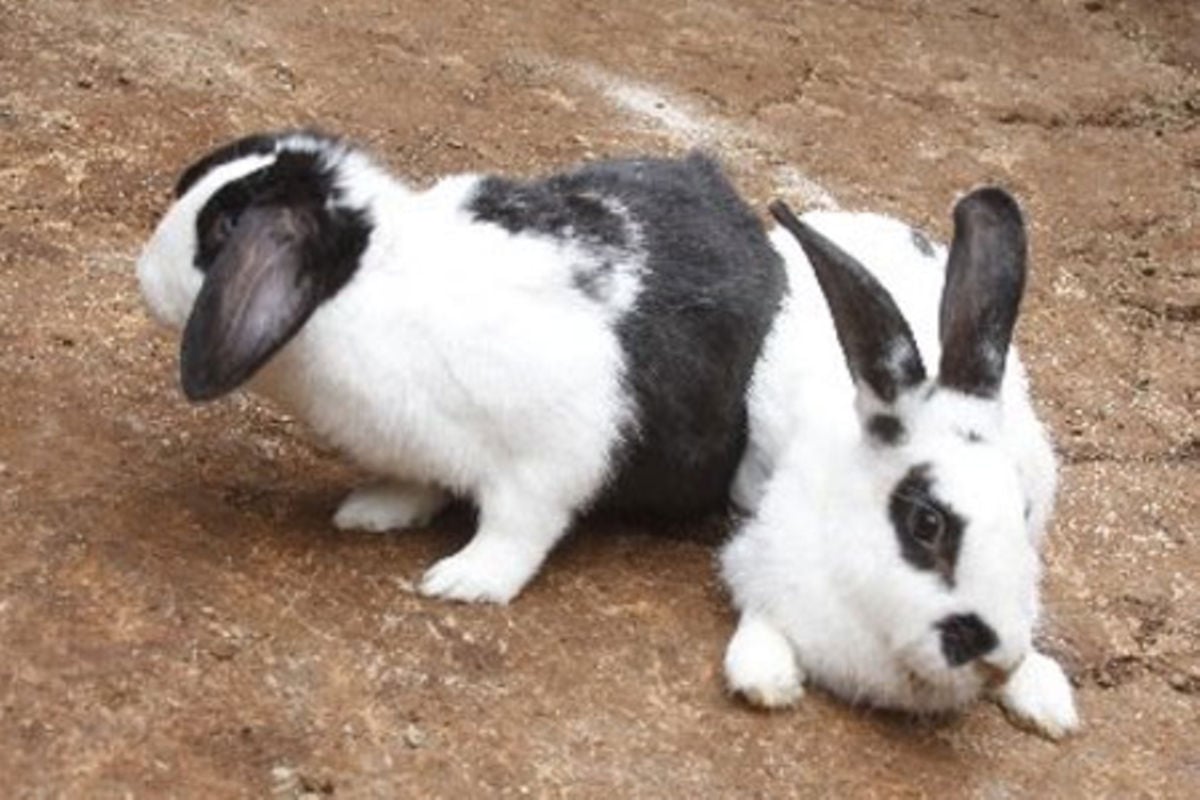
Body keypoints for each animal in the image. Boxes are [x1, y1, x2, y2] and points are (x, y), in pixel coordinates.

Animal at [137, 130, 786, 604]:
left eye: (222, 228)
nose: (142, 274)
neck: (367, 285)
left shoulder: (550, 459)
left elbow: (516, 528)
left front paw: (462, 581)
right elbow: (419, 481)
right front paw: (372, 511)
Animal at [720, 188, 1079, 739]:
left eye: (1025, 511)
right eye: (926, 523)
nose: (998, 660)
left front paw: (1046, 699)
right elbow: (757, 599)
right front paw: (765, 678)